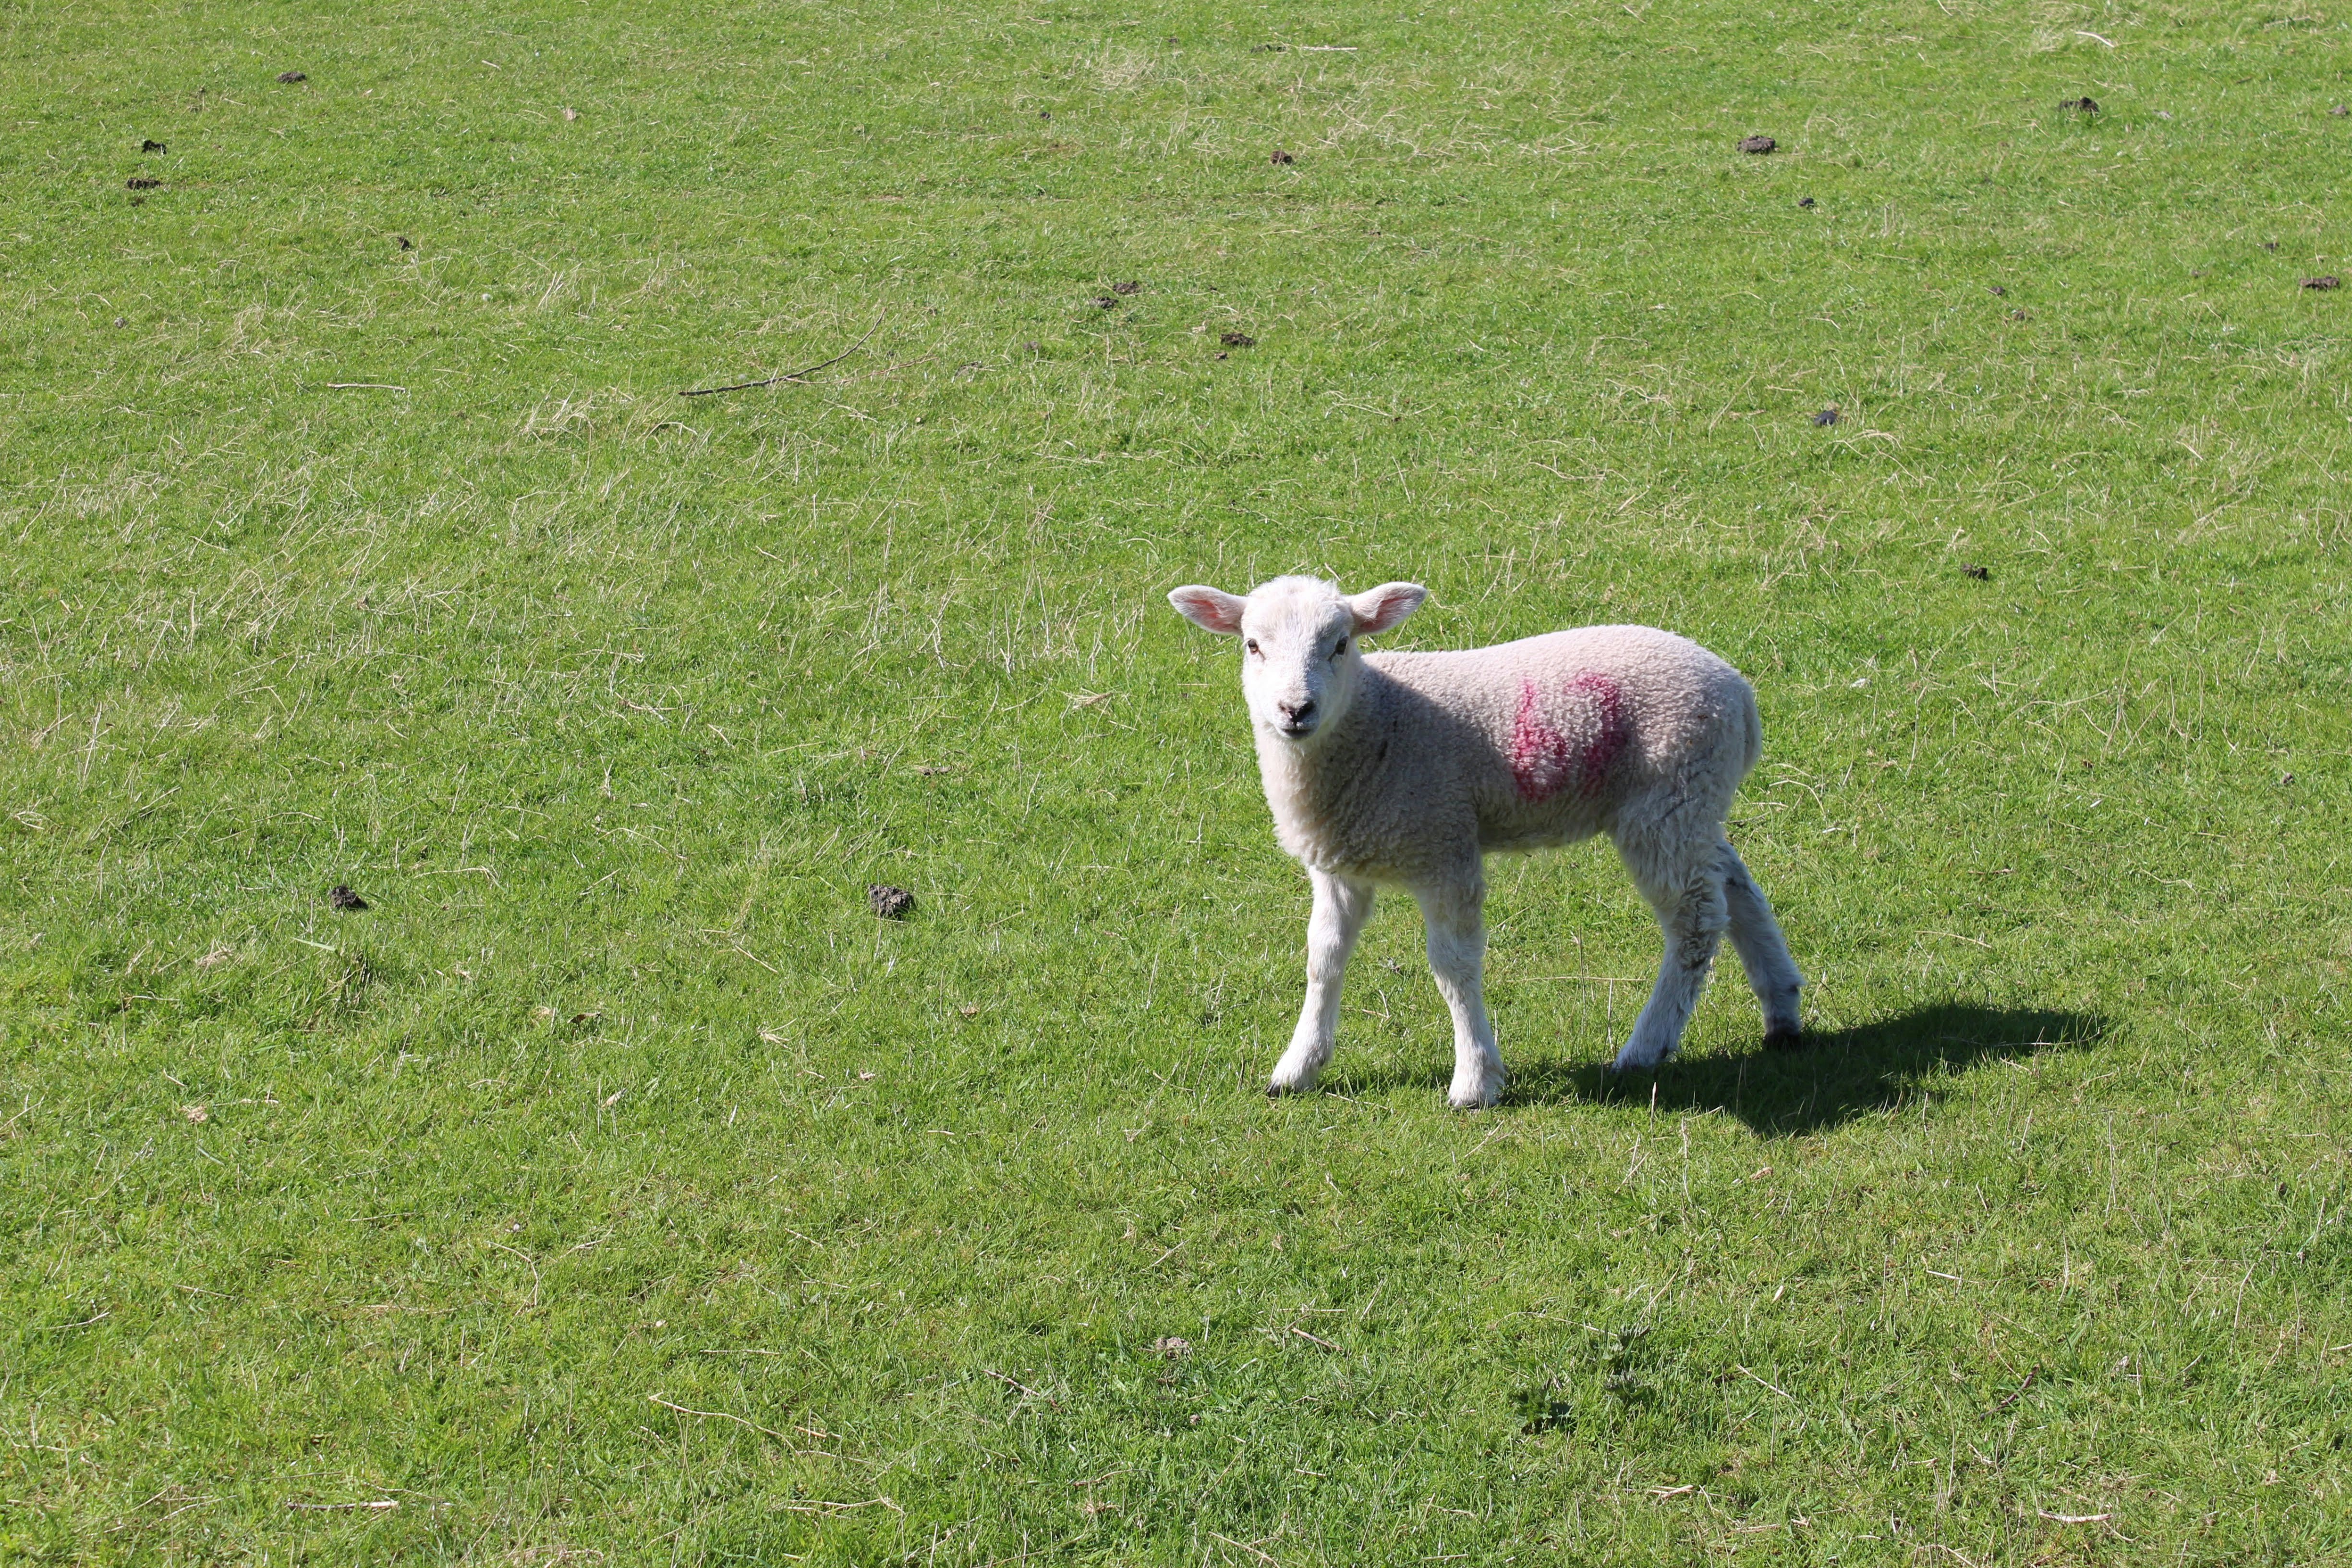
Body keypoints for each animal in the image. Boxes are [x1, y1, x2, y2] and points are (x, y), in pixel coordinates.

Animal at [1167, 575, 1802, 1108]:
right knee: (1735, 887)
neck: (1378, 720)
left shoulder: (1445, 846)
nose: (1296, 709)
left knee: (1695, 923)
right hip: (1693, 805)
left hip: (1665, 800)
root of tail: (1739, 696)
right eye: (1252, 645)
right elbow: (1323, 958)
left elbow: (1452, 965)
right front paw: (1297, 1067)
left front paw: (1474, 1081)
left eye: (1341, 644)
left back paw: (1644, 1047)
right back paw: (1781, 1011)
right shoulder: (1338, 863)